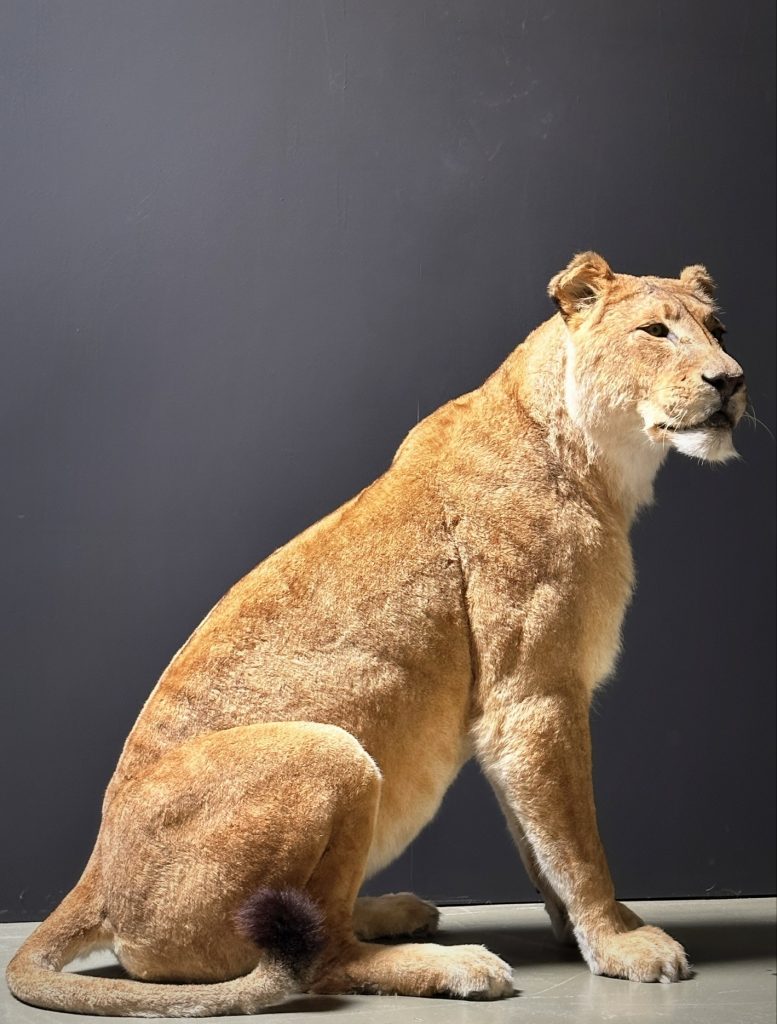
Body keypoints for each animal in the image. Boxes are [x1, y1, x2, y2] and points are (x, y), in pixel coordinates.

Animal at [7, 253, 747, 1016]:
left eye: (717, 331)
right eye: (654, 331)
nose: (731, 380)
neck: (599, 464)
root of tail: (94, 876)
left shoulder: (510, 717)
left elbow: (537, 839)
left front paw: (592, 931)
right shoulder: (535, 693)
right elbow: (575, 840)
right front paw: (619, 942)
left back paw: (389, 910)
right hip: (330, 750)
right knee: (320, 958)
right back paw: (449, 962)